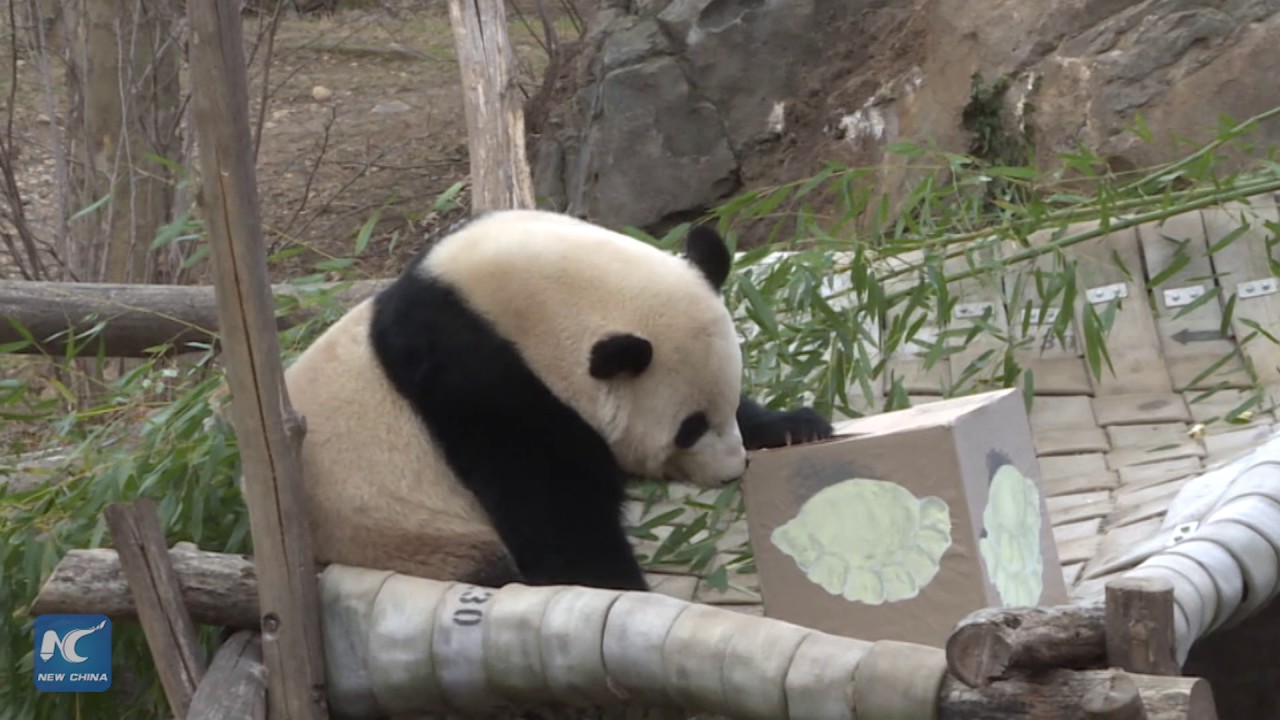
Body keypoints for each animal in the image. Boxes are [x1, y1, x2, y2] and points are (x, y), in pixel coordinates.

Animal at [278, 208, 833, 592]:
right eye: (689, 427)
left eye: (727, 402)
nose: (732, 470)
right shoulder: (484, 391)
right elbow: (556, 516)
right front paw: (616, 585)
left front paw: (795, 425)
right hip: (412, 540)